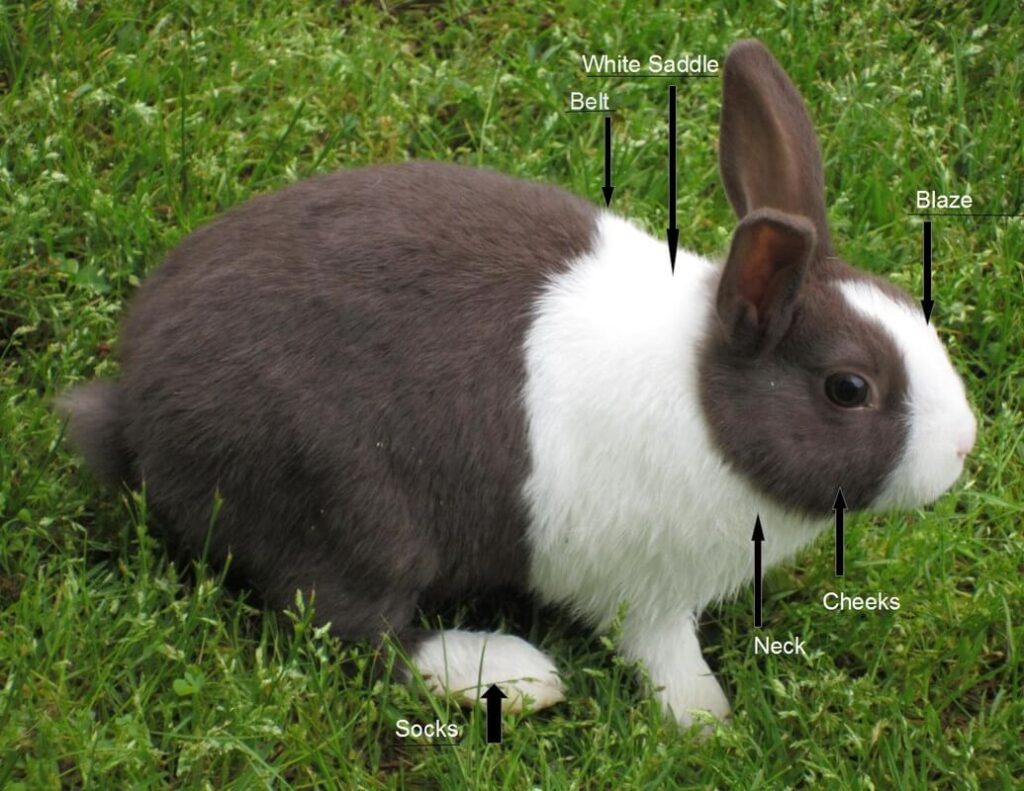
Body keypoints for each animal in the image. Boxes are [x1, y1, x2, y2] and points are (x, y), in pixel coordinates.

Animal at [59, 39, 976, 727]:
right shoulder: (646, 594)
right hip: (347, 509)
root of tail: (138, 413)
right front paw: (709, 724)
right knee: (347, 624)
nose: (964, 447)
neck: (705, 398)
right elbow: (667, 658)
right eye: (848, 389)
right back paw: (509, 674)